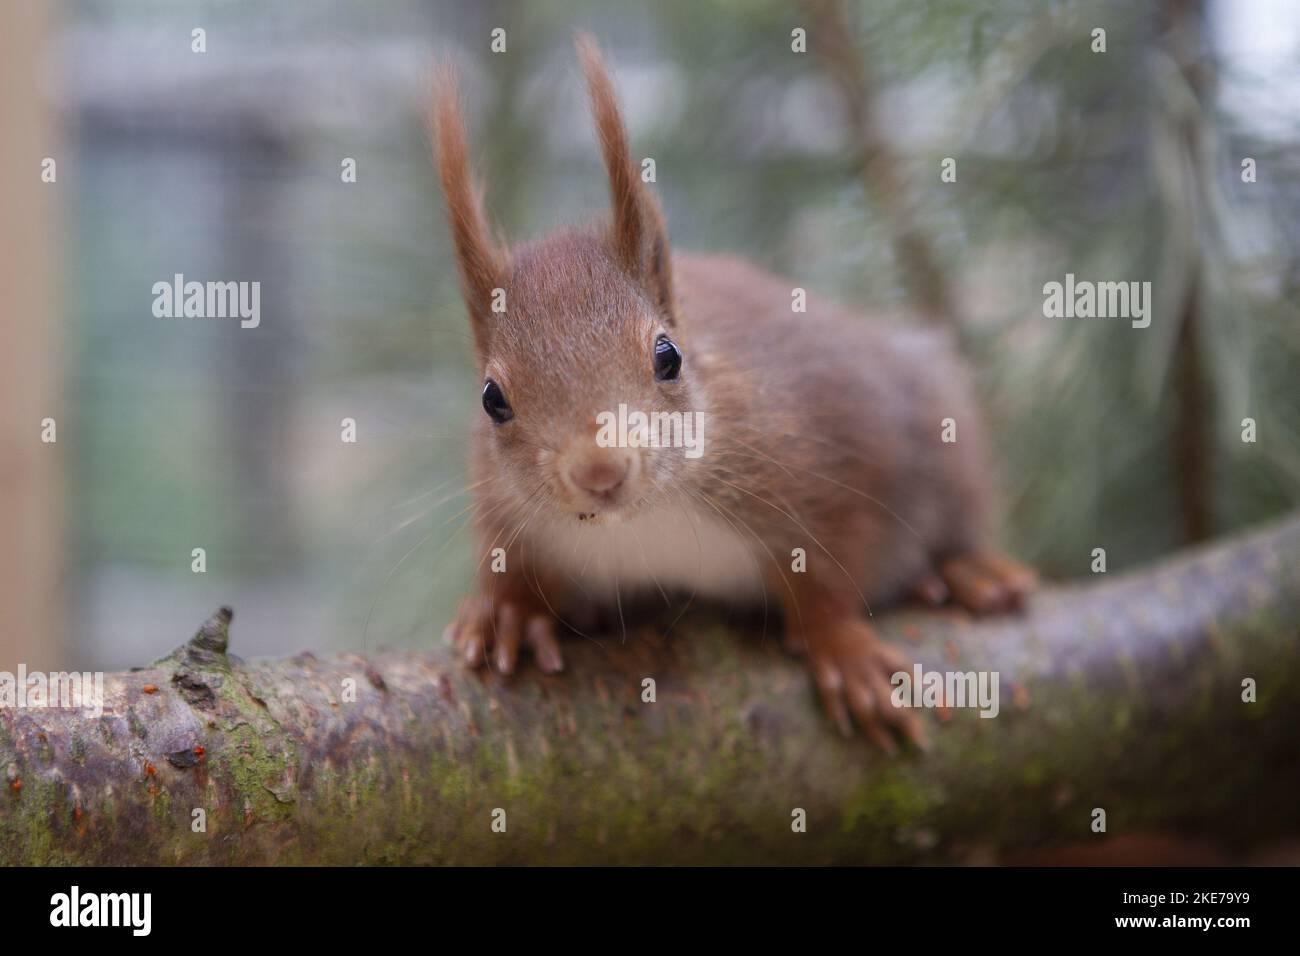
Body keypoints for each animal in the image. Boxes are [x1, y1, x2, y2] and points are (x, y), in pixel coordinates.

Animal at [432, 35, 1036, 751]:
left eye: (668, 357)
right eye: (492, 399)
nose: (600, 472)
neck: (645, 520)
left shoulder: (823, 456)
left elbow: (831, 571)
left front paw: (844, 651)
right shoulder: (501, 503)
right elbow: (508, 558)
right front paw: (510, 612)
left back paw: (970, 571)